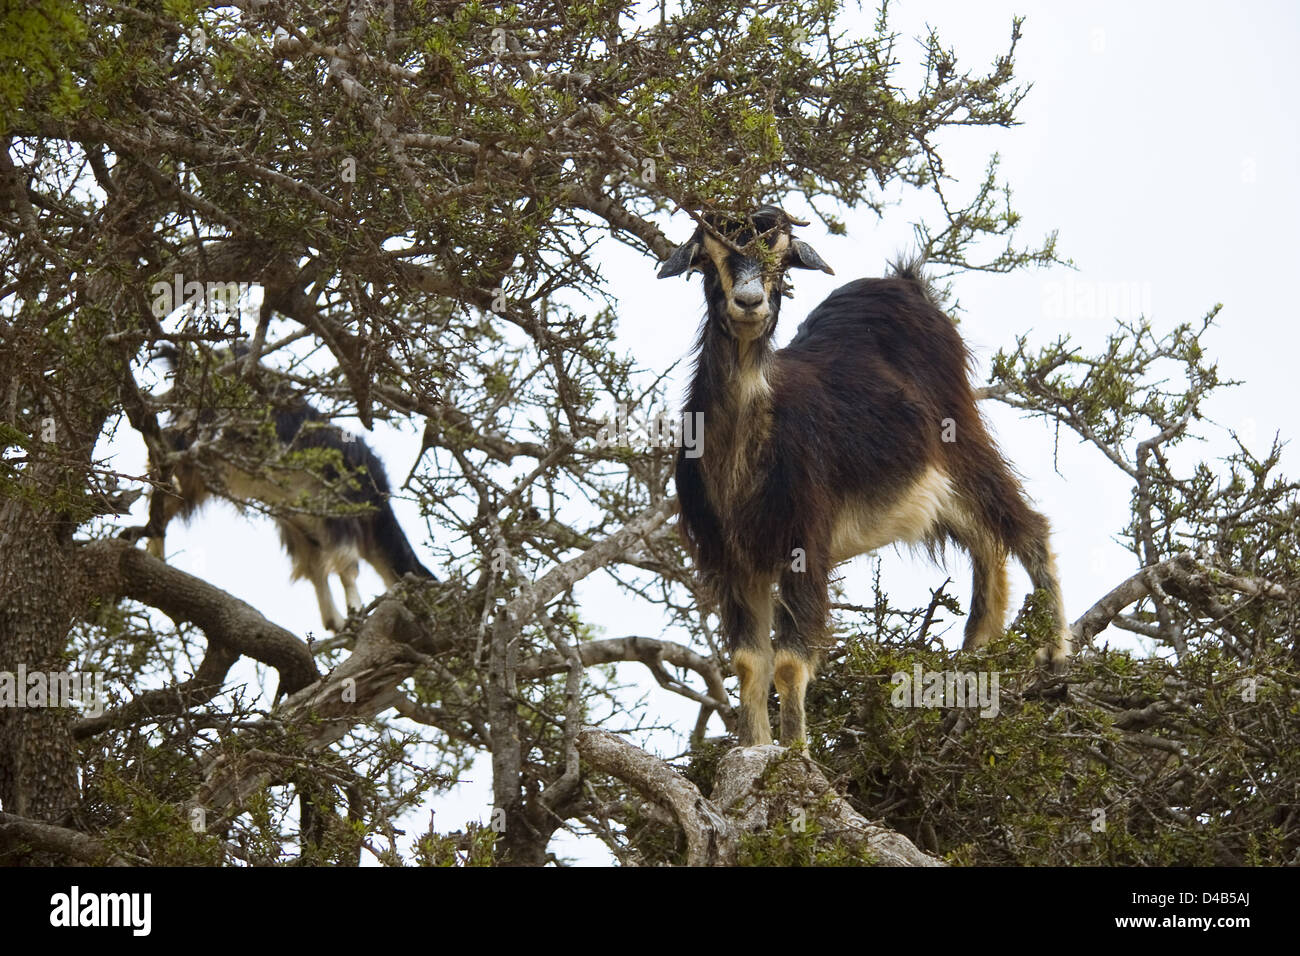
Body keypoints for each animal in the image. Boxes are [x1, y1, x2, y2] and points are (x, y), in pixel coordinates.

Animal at [139, 345, 434, 631]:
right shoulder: (339, 509)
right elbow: (347, 567)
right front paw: (355, 612)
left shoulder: (301, 526)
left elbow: (315, 570)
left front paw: (335, 621)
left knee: (168, 493)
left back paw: (156, 546)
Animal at [659, 206, 1071, 746]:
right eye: (708, 258)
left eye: (783, 259)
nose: (749, 302)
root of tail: (907, 285)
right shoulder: (731, 558)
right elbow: (750, 663)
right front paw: (756, 750)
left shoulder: (803, 543)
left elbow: (789, 663)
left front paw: (796, 755)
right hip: (933, 489)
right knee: (986, 541)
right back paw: (977, 656)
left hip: (961, 441)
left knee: (1027, 527)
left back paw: (1055, 654)